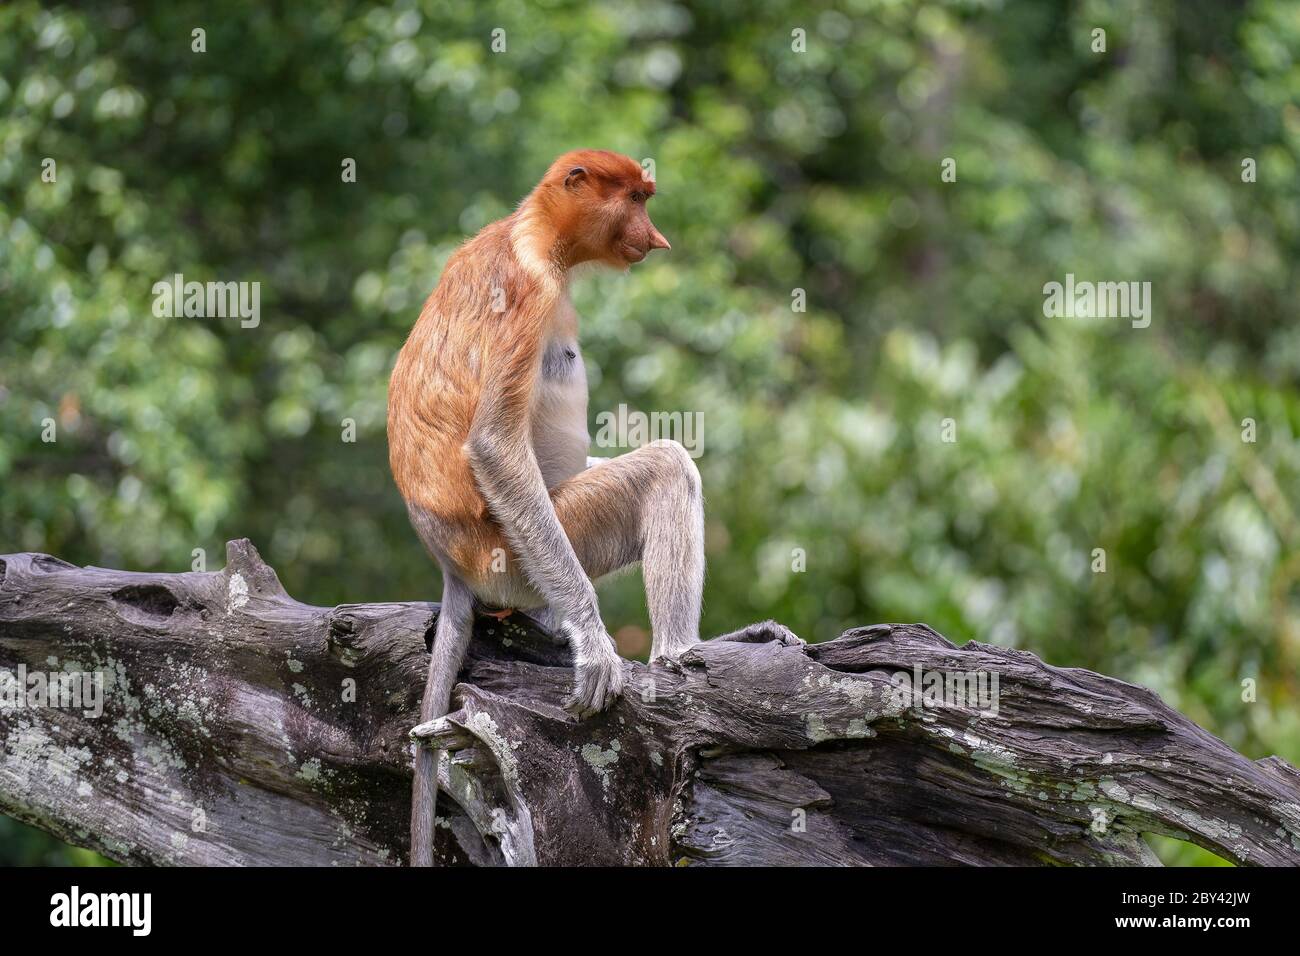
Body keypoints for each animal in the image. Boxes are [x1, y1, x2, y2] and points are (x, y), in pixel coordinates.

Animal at [388, 149, 795, 867]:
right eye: (635, 198)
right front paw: (597, 647)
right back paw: (674, 656)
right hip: (519, 554)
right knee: (667, 467)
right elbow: (495, 446)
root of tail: (452, 567)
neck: (534, 232)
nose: (655, 238)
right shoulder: (528, 289)